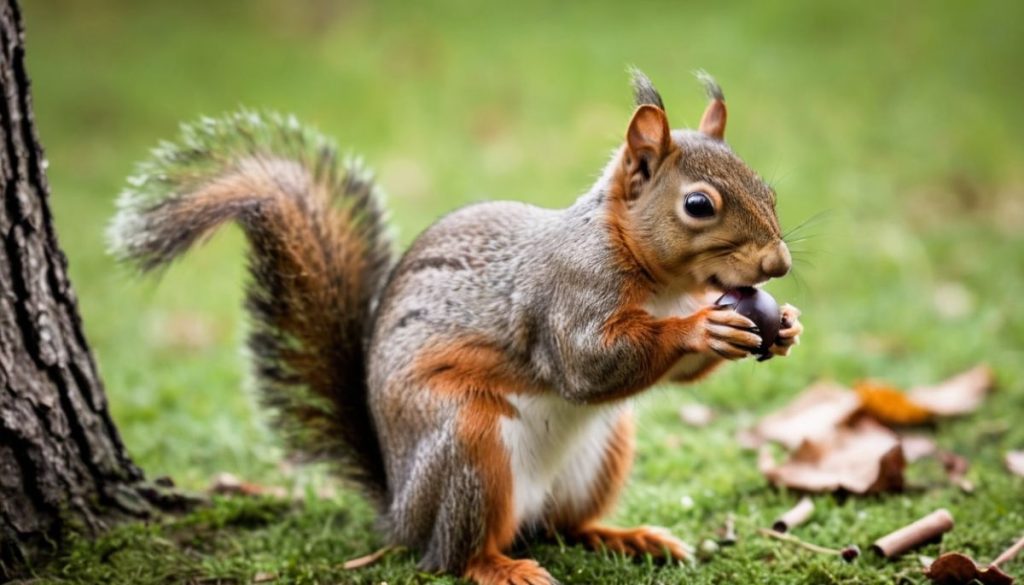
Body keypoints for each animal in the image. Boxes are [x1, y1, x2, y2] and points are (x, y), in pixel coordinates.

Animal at [109, 70, 802, 585]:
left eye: (770, 190)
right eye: (698, 205)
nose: (778, 265)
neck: (664, 286)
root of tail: (399, 510)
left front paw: (785, 325)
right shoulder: (566, 296)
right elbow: (587, 364)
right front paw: (700, 330)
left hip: (601, 453)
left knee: (563, 525)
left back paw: (625, 536)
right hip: (466, 443)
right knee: (452, 556)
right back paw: (502, 567)